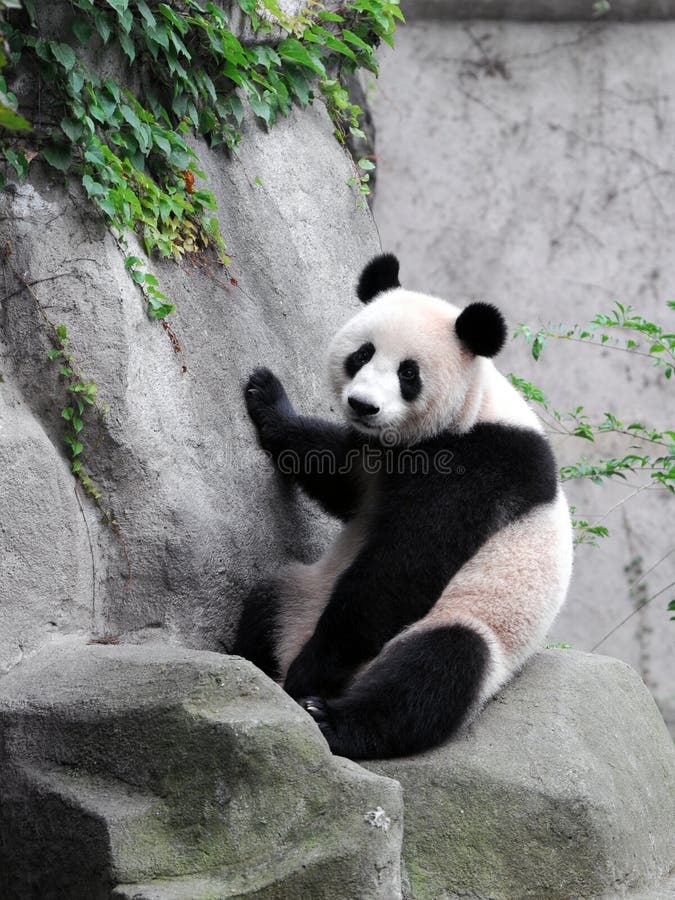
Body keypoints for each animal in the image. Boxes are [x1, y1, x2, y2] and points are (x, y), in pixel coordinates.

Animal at [233, 253, 573, 760]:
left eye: (408, 373)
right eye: (362, 354)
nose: (363, 405)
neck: (470, 408)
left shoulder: (477, 466)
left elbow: (402, 570)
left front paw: (311, 671)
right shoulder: (374, 456)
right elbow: (337, 474)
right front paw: (266, 396)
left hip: (475, 622)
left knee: (437, 669)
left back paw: (328, 716)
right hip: (301, 593)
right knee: (264, 601)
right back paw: (255, 665)